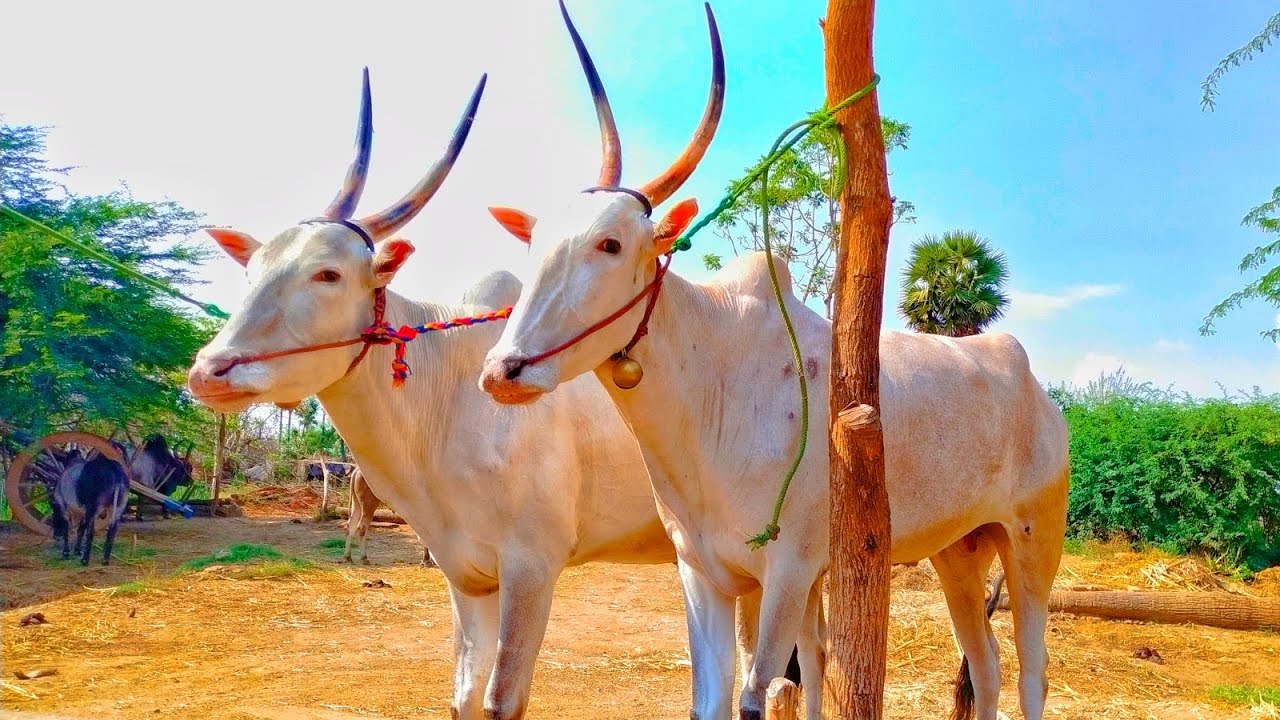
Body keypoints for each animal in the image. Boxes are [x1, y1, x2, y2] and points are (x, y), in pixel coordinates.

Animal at [184, 69, 785, 719]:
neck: (450, 393)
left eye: (328, 273)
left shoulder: (532, 566)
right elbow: (464, 696)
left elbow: (501, 700)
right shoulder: (466, 574)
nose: (208, 370)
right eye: (253, 269)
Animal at [477, 5, 1071, 719]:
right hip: (958, 552)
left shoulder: (789, 571)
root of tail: (1033, 387)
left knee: (1032, 669)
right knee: (985, 668)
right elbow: (717, 698)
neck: (715, 382)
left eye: (611, 243)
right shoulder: (703, 575)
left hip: (1033, 543)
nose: (503, 371)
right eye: (535, 241)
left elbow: (758, 696)